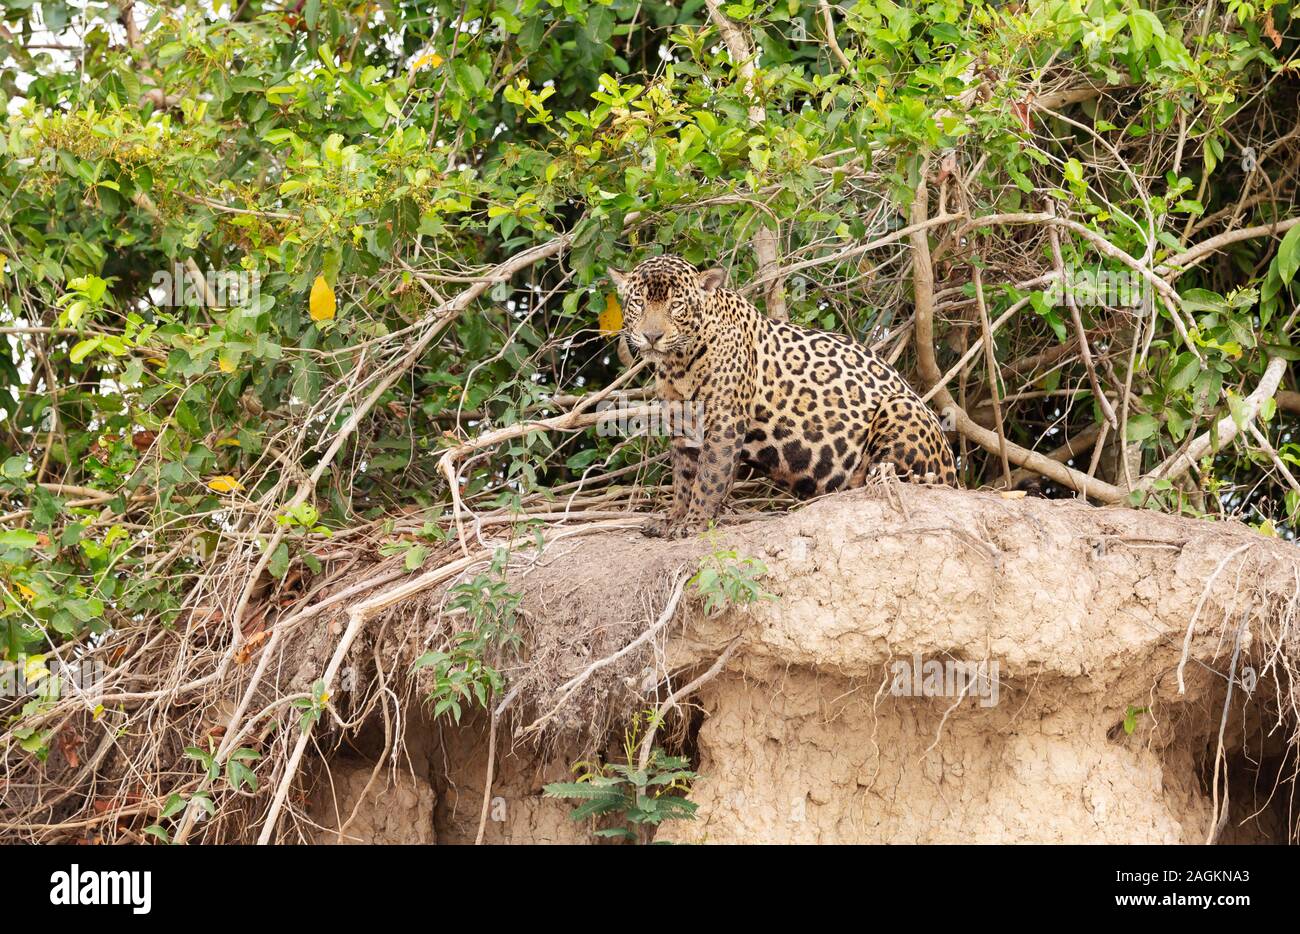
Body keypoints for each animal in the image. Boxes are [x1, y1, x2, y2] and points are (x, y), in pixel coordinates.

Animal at [608, 254, 960, 540]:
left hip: (899, 408)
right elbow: (683, 478)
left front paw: (693, 522)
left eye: (676, 306)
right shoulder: (682, 425)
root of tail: (954, 475)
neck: (678, 364)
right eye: (638, 303)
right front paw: (673, 518)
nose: (652, 336)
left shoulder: (724, 423)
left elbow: (709, 476)